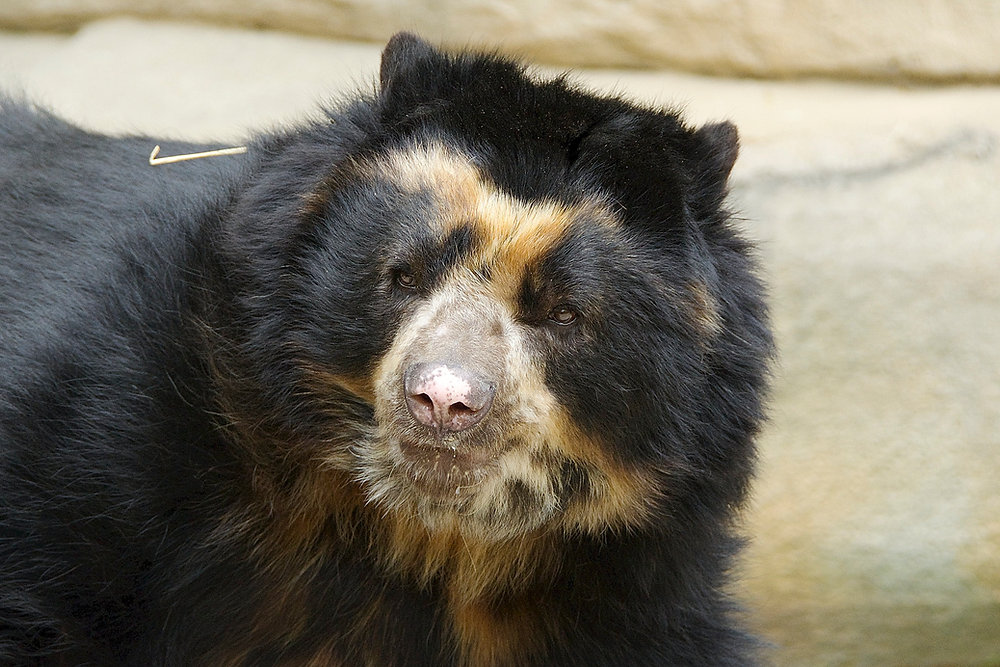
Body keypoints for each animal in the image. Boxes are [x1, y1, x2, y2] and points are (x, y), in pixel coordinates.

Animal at [0, 33, 771, 665]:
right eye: (404, 274)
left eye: (562, 313)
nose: (442, 401)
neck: (414, 536)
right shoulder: (104, 428)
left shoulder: (629, 592)